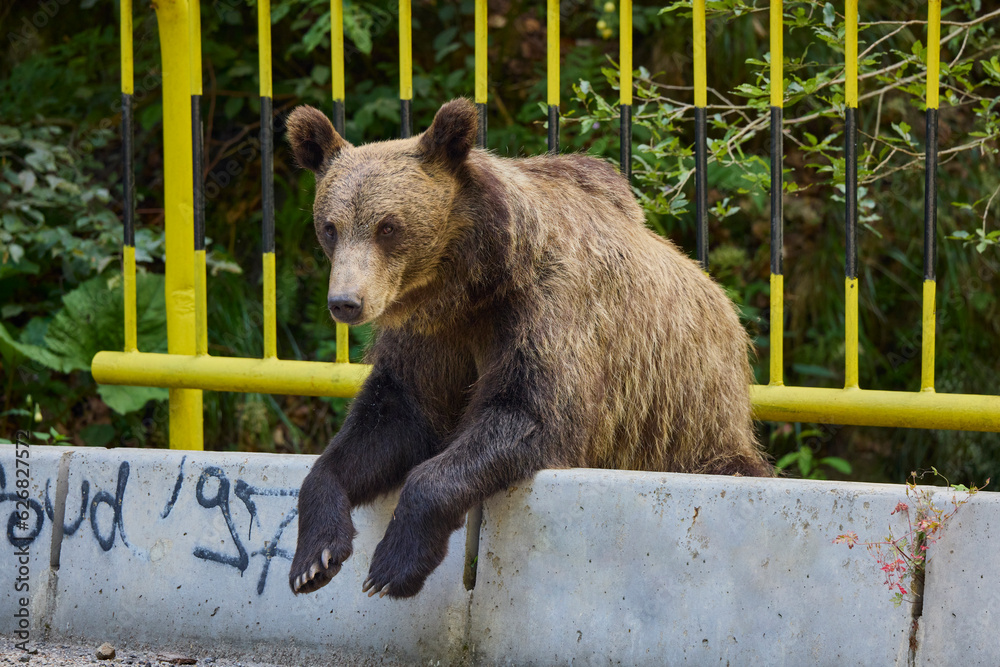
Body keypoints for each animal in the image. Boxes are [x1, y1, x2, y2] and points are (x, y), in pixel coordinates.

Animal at [285, 98, 772, 599]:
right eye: (330, 227)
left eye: (388, 226)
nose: (346, 301)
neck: (470, 283)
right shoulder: (431, 339)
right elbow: (391, 418)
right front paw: (314, 557)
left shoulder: (545, 309)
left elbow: (529, 413)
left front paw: (392, 566)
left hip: (687, 424)